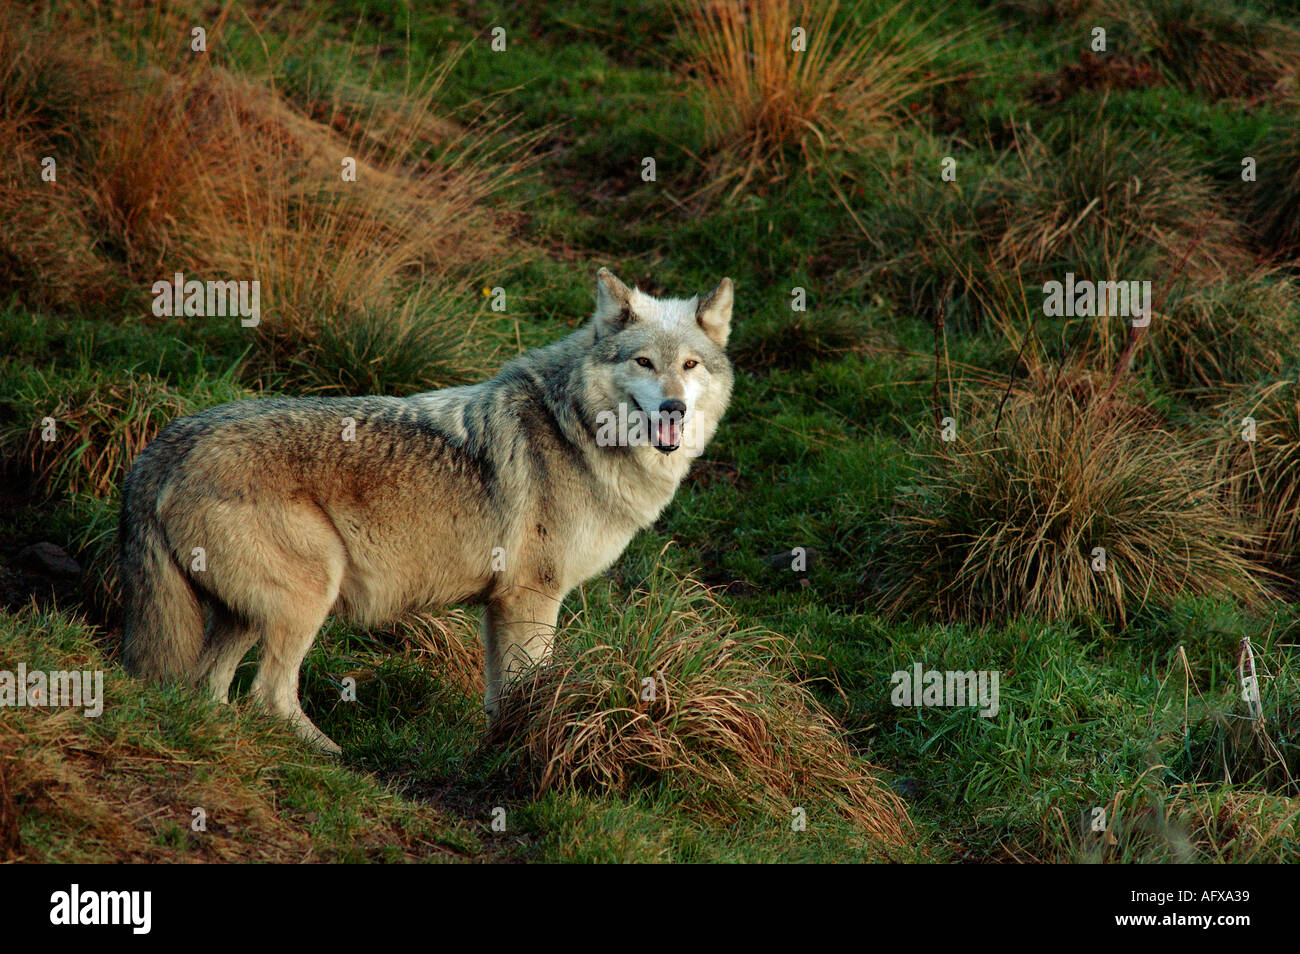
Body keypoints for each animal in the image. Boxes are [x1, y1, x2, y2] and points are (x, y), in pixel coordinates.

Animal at [119, 268, 734, 752]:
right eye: (644, 361)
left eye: (690, 365)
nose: (674, 407)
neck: (574, 428)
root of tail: (162, 445)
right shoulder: (532, 596)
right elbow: (527, 685)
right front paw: (522, 748)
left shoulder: (499, 605)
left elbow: (500, 695)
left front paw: (497, 750)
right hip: (309, 596)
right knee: (268, 694)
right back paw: (335, 757)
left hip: (247, 616)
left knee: (208, 688)